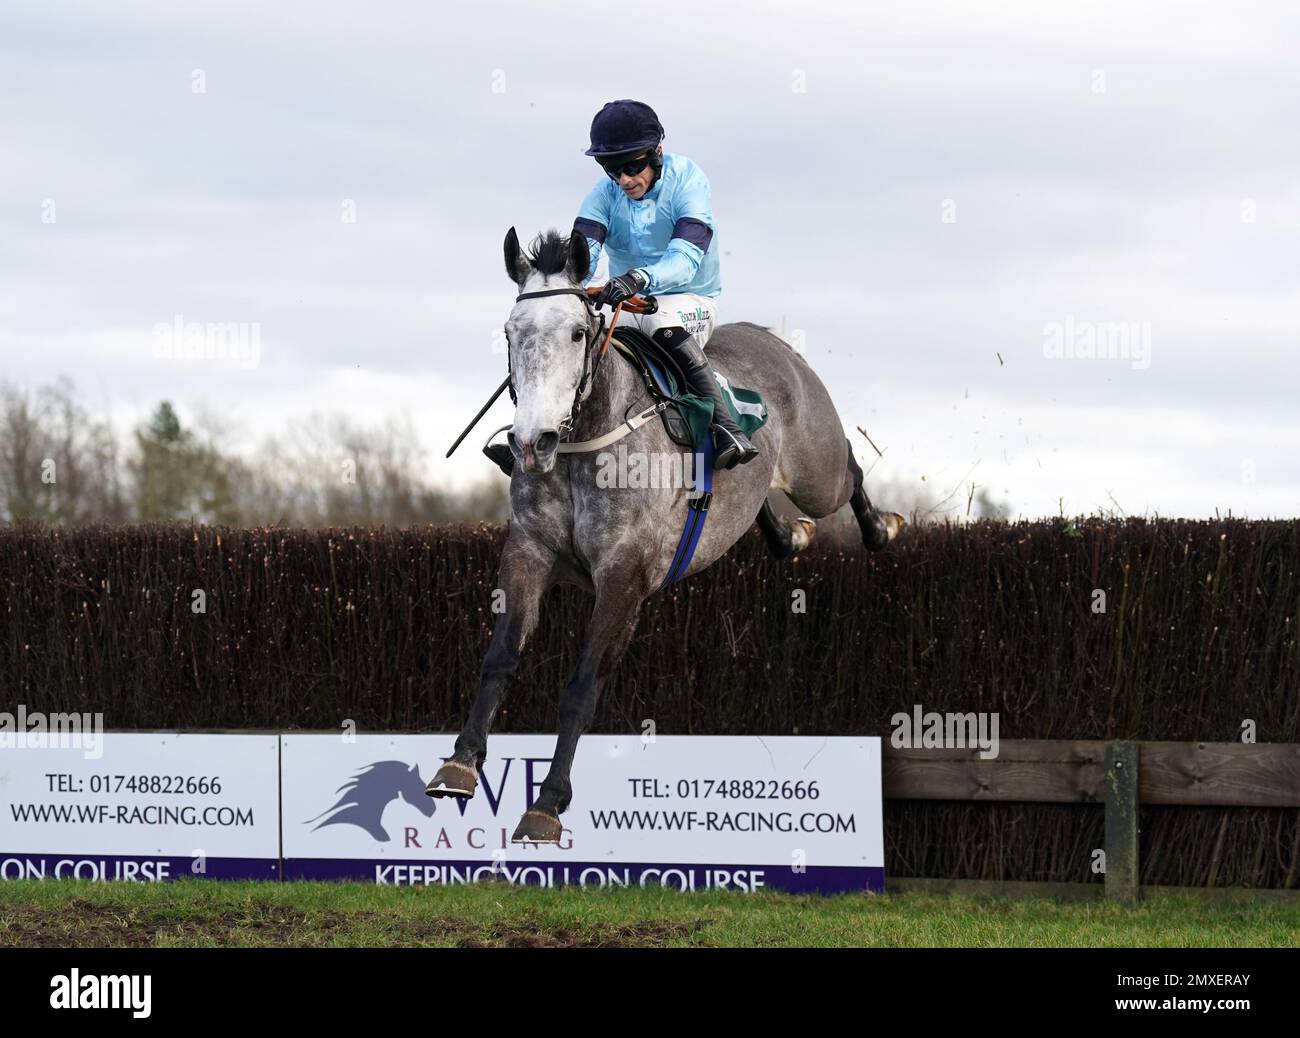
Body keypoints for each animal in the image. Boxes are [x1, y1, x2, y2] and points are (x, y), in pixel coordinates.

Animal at [426, 230, 904, 842]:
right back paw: (791, 536)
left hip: (816, 473)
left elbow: (582, 687)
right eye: (511, 334)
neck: (585, 442)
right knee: (762, 511)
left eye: (577, 332)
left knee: (851, 471)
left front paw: (548, 803)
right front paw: (459, 764)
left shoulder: (624, 575)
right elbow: (499, 658)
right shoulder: (529, 551)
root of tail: (772, 339)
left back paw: (881, 525)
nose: (533, 442)